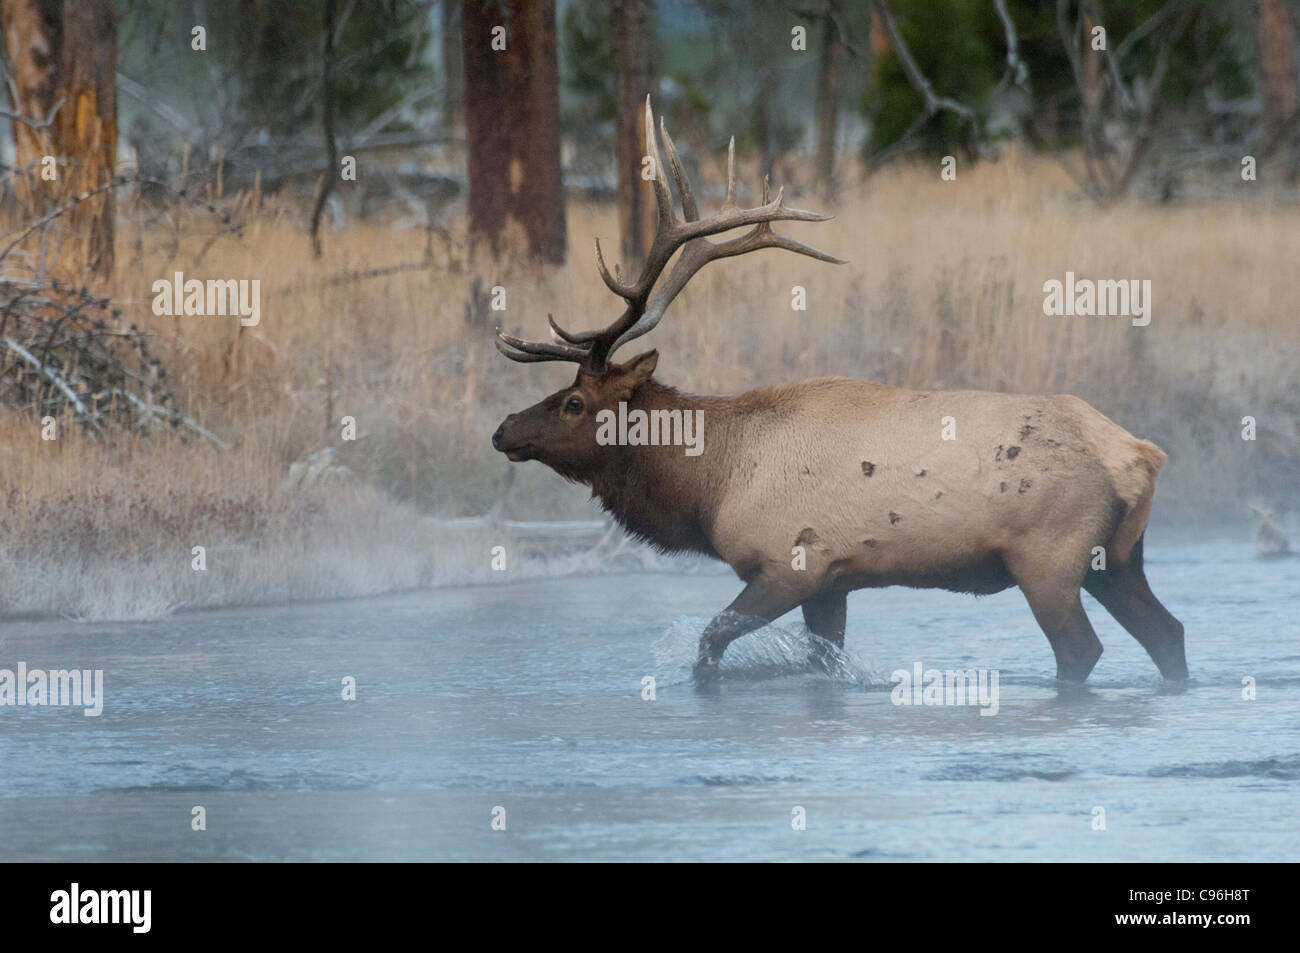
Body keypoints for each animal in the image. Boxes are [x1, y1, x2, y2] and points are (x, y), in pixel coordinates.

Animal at [491, 100, 1188, 685]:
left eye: (574, 403)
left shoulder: (790, 565)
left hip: (1049, 558)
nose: (502, 429)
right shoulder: (834, 584)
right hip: (1117, 559)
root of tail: (1140, 457)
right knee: (1169, 633)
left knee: (1082, 649)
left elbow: (709, 643)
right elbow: (822, 663)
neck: (713, 484)